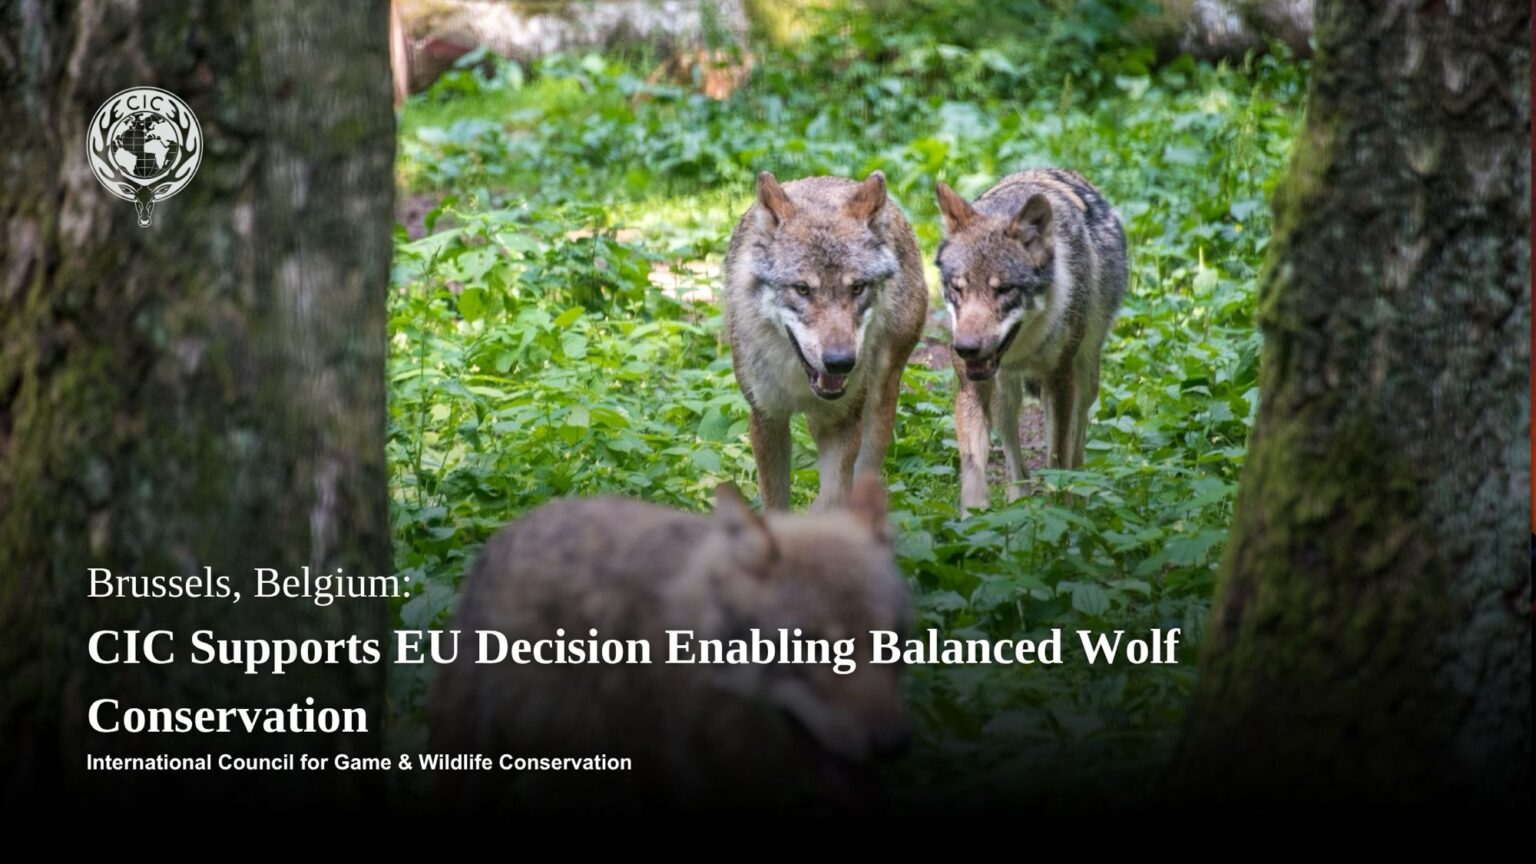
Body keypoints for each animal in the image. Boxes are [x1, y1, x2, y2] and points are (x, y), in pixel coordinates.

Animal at [724, 171, 928, 510]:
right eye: (802, 289)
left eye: (857, 288)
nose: (840, 362)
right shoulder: (767, 419)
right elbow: (775, 502)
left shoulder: (843, 421)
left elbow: (834, 495)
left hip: (880, 395)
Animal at [934, 168, 1127, 510]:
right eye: (958, 289)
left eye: (1004, 289)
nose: (966, 348)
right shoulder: (971, 387)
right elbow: (972, 466)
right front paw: (974, 517)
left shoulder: (1059, 380)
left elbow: (1057, 459)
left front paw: (1059, 511)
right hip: (1004, 396)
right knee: (1015, 457)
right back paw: (1018, 499)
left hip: (1084, 379)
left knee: (1077, 439)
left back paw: (1079, 498)